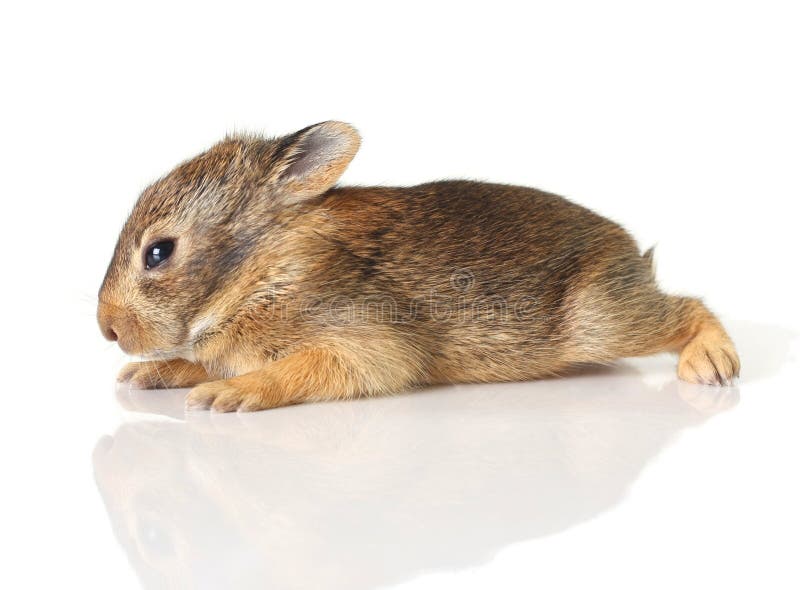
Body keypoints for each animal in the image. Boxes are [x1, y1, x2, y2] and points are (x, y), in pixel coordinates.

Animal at [98, 121, 740, 412]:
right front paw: (154, 375)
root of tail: (628, 251)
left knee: (686, 310)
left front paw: (226, 394)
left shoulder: (364, 340)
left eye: (159, 252)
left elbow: (301, 369)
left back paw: (713, 363)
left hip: (600, 321)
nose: (107, 329)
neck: (261, 270)